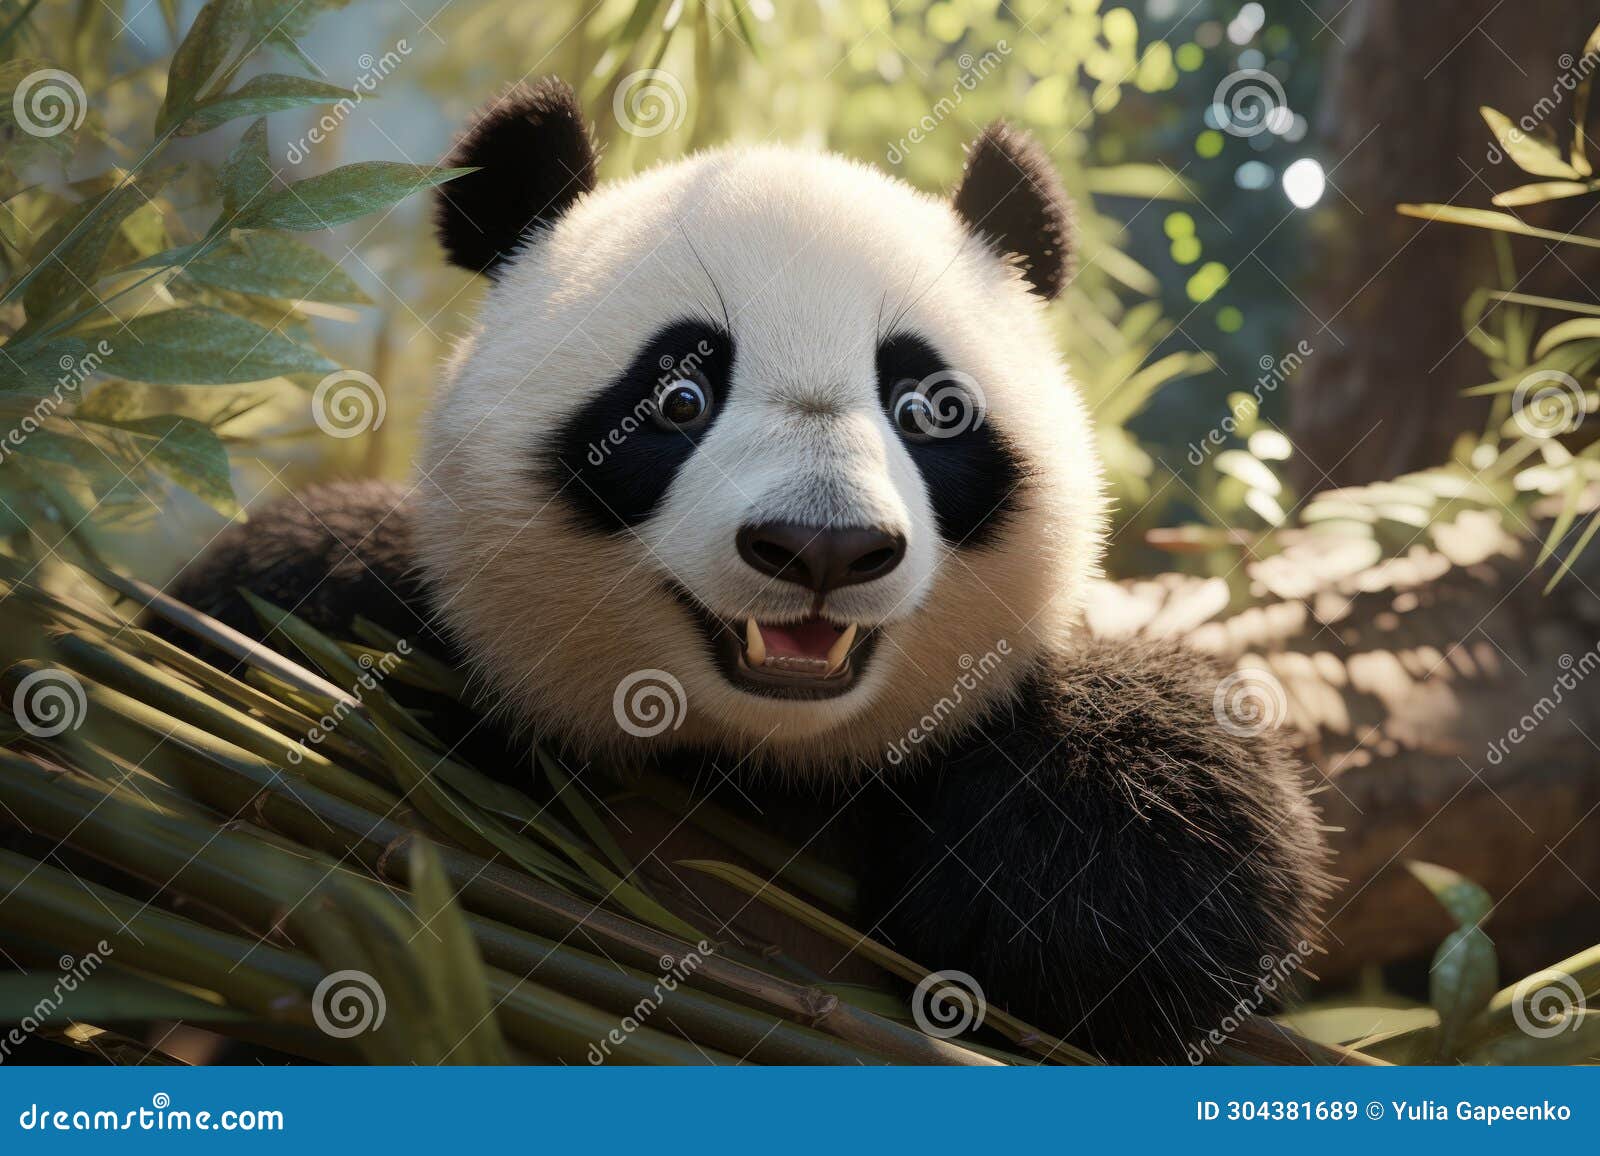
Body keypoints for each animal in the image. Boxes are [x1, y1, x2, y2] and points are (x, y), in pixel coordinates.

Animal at [165, 80, 1329, 1063]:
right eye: (677, 398)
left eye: (929, 408)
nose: (823, 547)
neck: (751, 768)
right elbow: (289, 603)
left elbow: (1183, 837)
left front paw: (1077, 882)